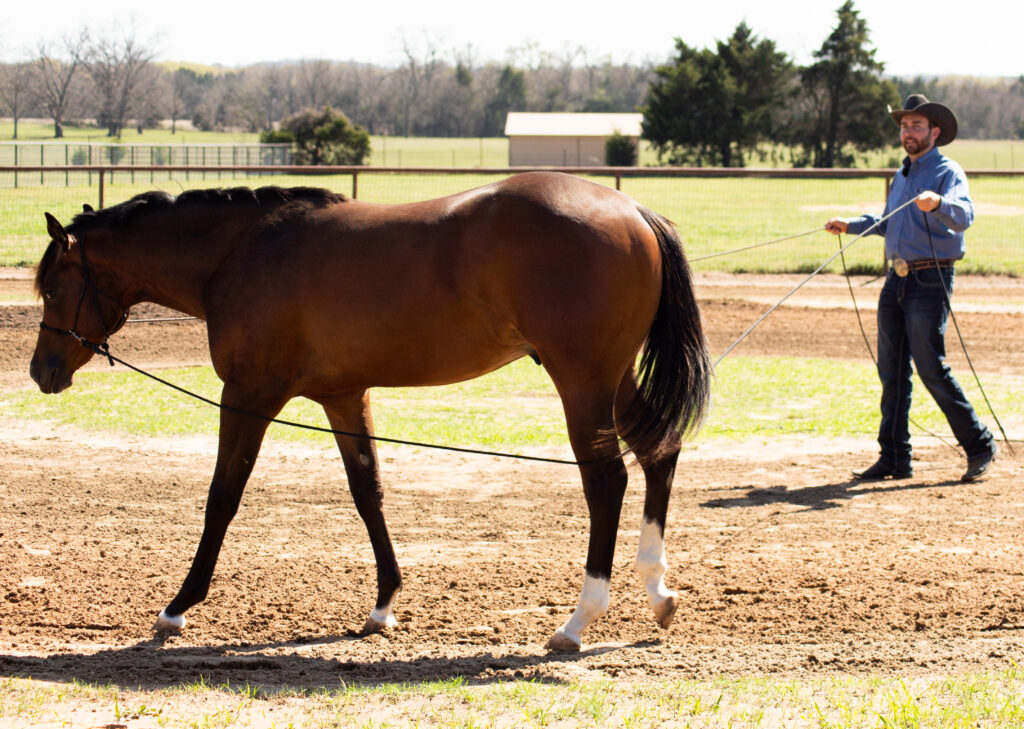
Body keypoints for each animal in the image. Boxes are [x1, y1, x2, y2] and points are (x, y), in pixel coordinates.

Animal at [30, 171, 711, 651]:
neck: (241, 252)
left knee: (607, 480)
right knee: (658, 452)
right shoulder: (342, 396)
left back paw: (577, 621)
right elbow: (368, 493)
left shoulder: (248, 395)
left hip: (582, 381)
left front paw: (177, 607)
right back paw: (658, 592)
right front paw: (383, 606)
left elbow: (222, 496)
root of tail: (633, 211)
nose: (41, 370)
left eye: (54, 287)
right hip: (612, 379)